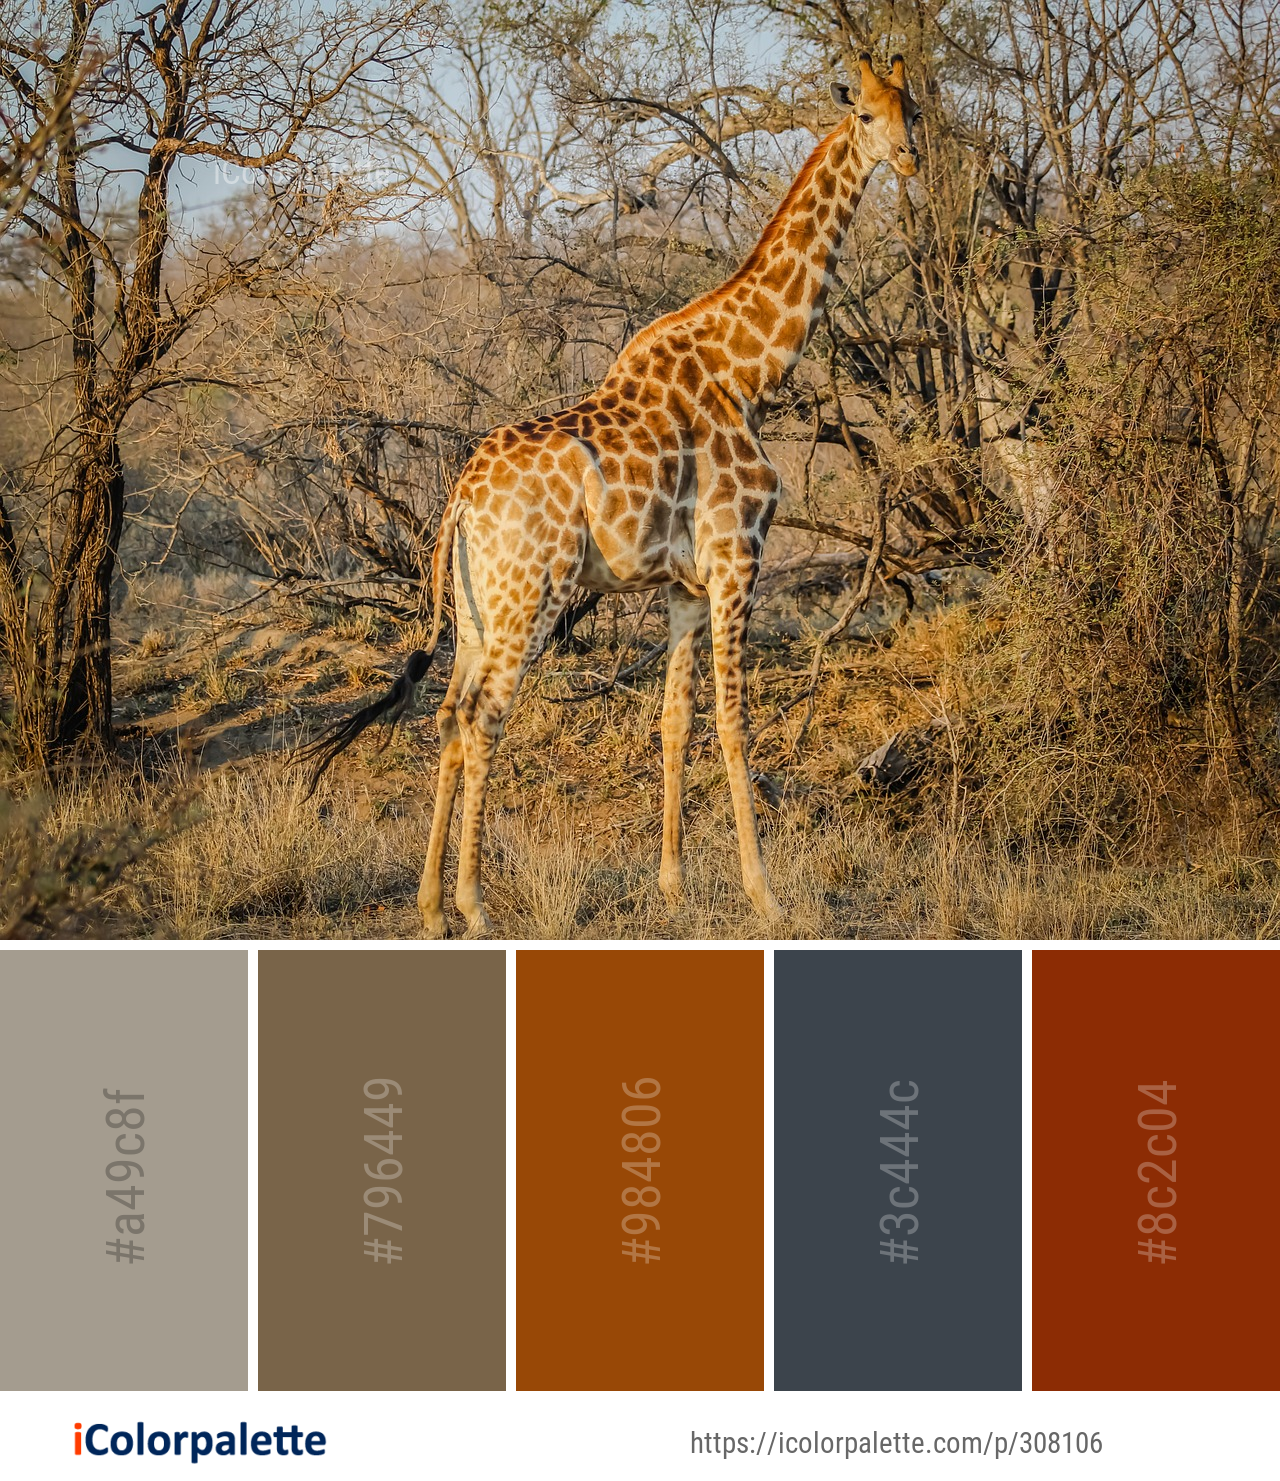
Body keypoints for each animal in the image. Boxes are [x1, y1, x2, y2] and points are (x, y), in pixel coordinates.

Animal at [300, 53, 920, 937]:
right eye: (865, 114)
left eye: (912, 109)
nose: (909, 159)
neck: (750, 371)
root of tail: (459, 499)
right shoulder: (738, 560)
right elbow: (734, 724)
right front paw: (763, 895)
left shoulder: (686, 587)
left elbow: (674, 722)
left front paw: (674, 884)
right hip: (532, 595)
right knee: (484, 719)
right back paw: (474, 903)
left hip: (478, 606)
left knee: (449, 717)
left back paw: (429, 907)